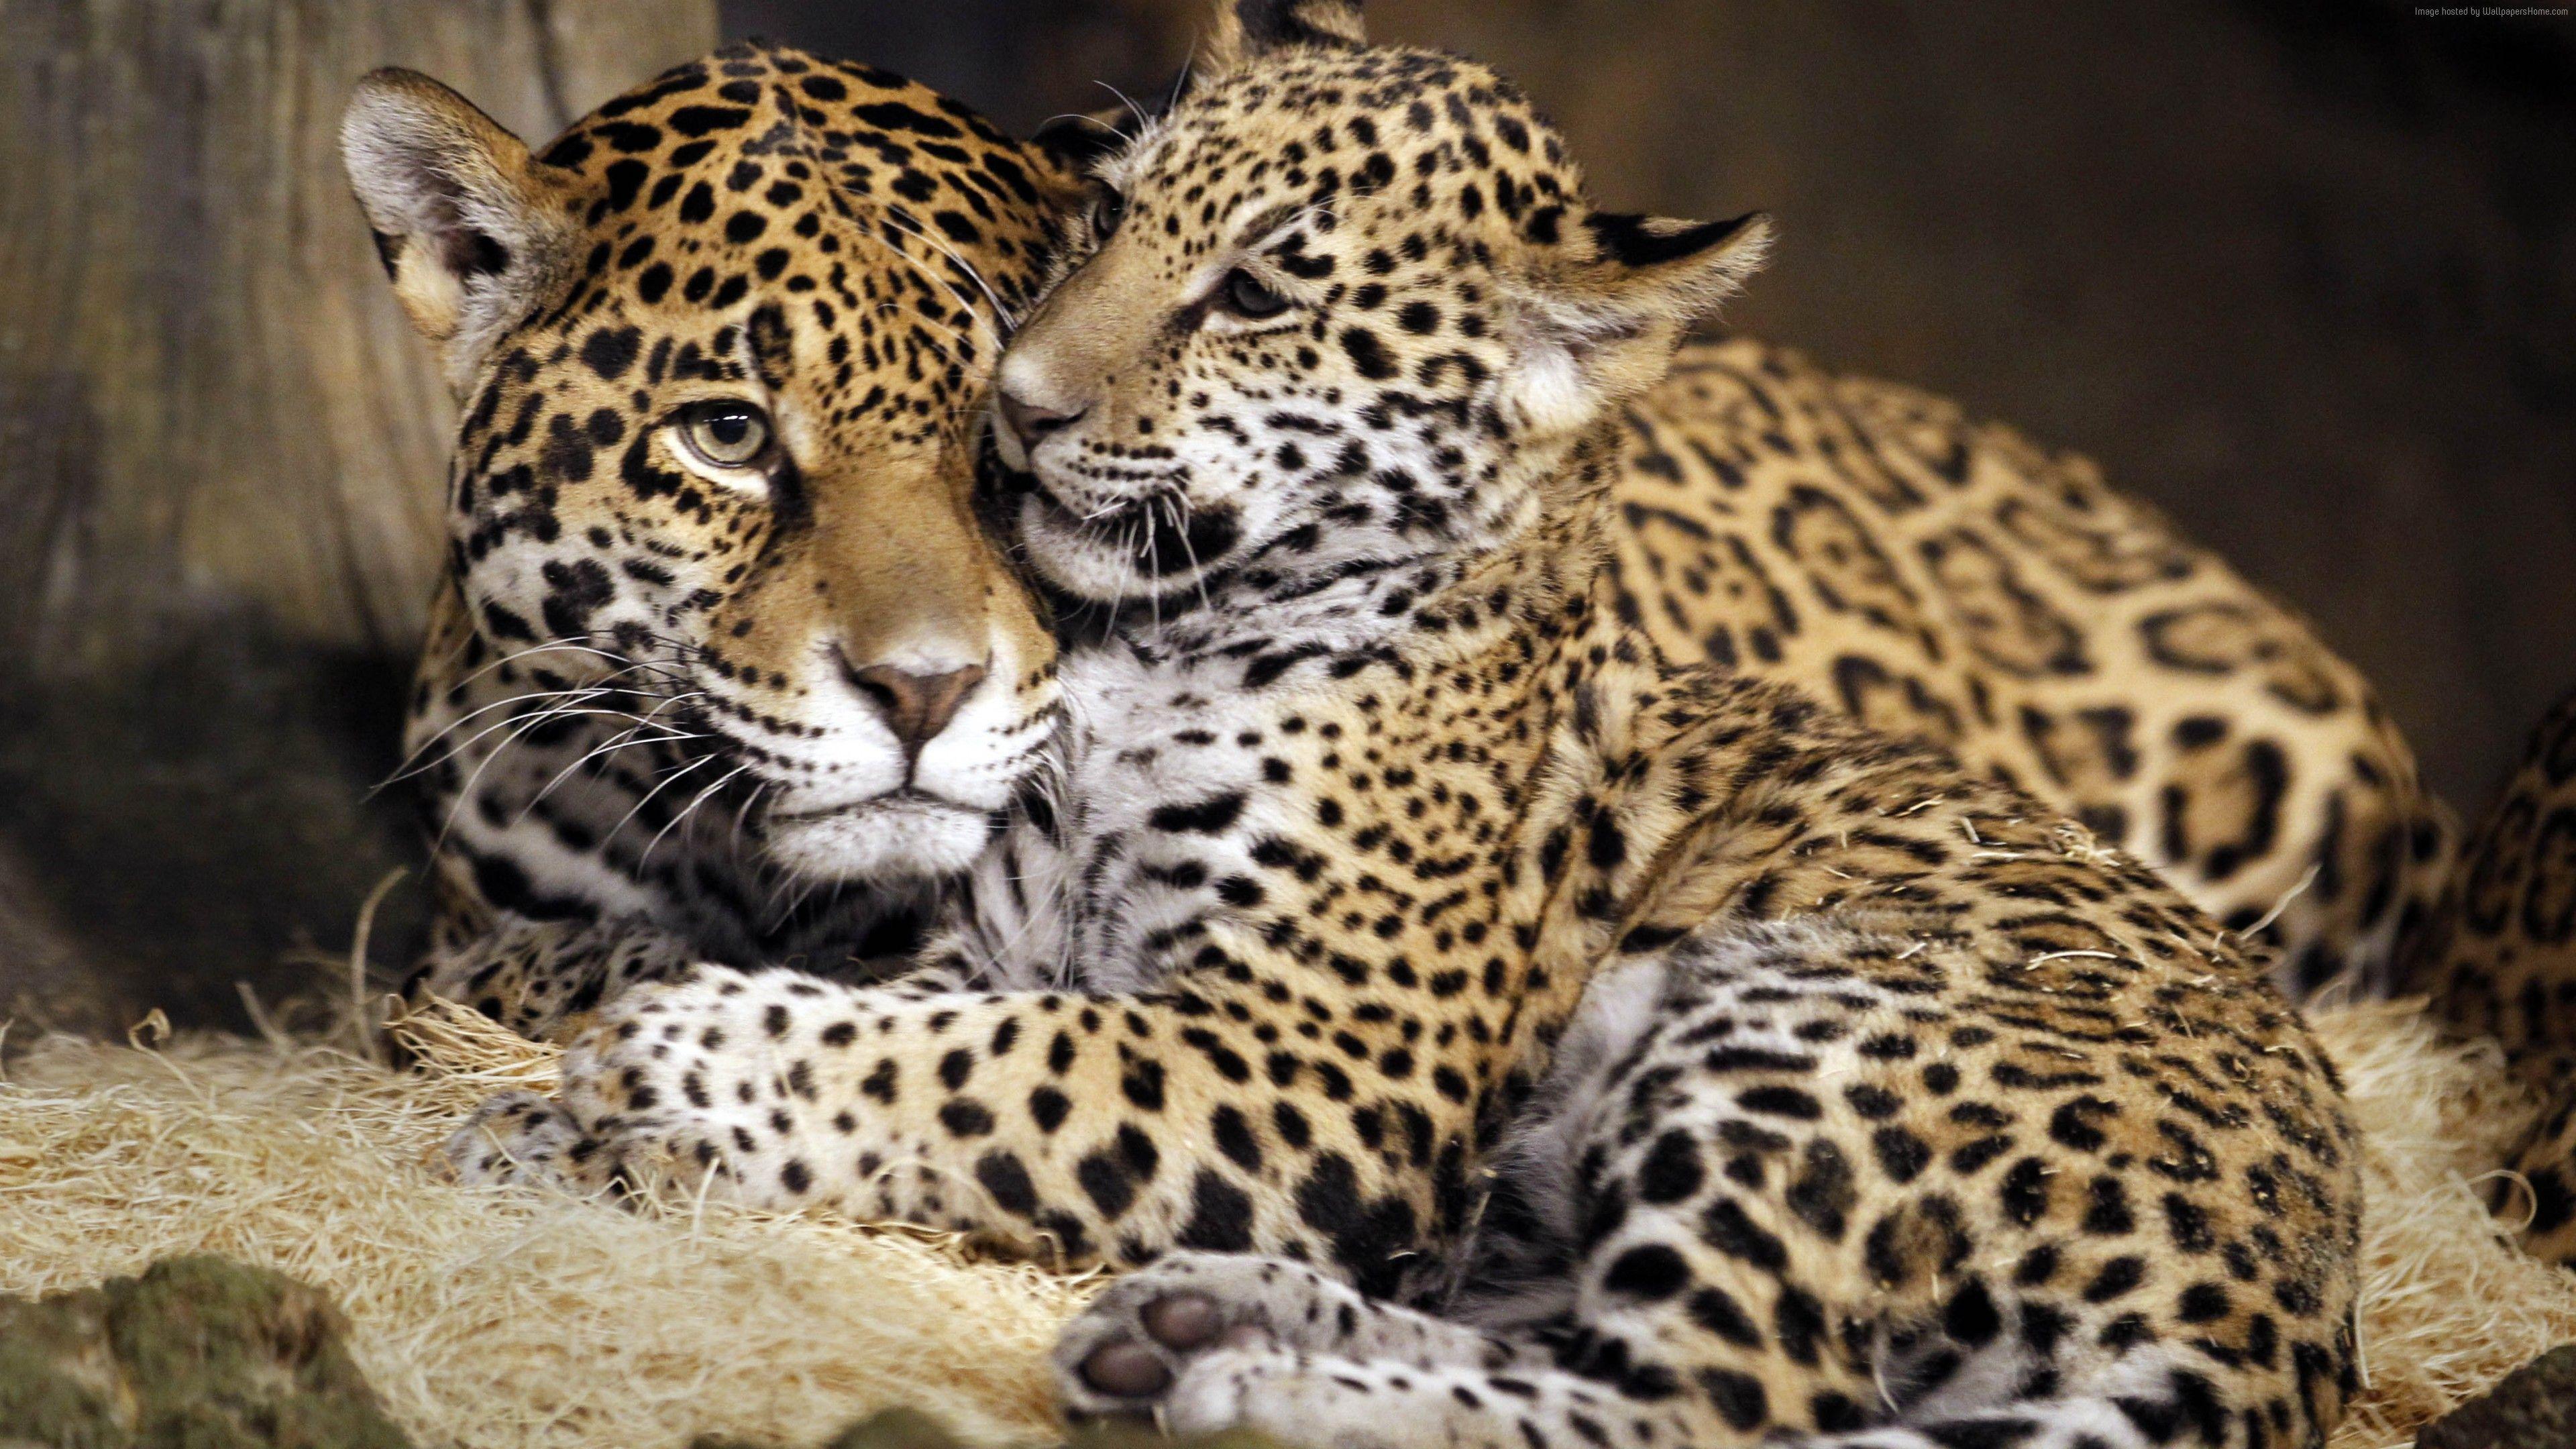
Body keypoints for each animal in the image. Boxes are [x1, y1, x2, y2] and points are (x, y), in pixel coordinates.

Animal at [442, 6, 2364, 1445]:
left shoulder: (1325, 1055)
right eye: (1107, 217)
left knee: (1711, 1400)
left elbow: (976, 1063)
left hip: (1804, 1029)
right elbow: (918, 1029)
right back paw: (1196, 1322)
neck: (1166, 639)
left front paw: (668, 1053)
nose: (1017, 407)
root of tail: (2293, 1289)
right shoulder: (992, 931)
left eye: (1256, 291)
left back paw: (1256, 1386)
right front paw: (556, 1126)